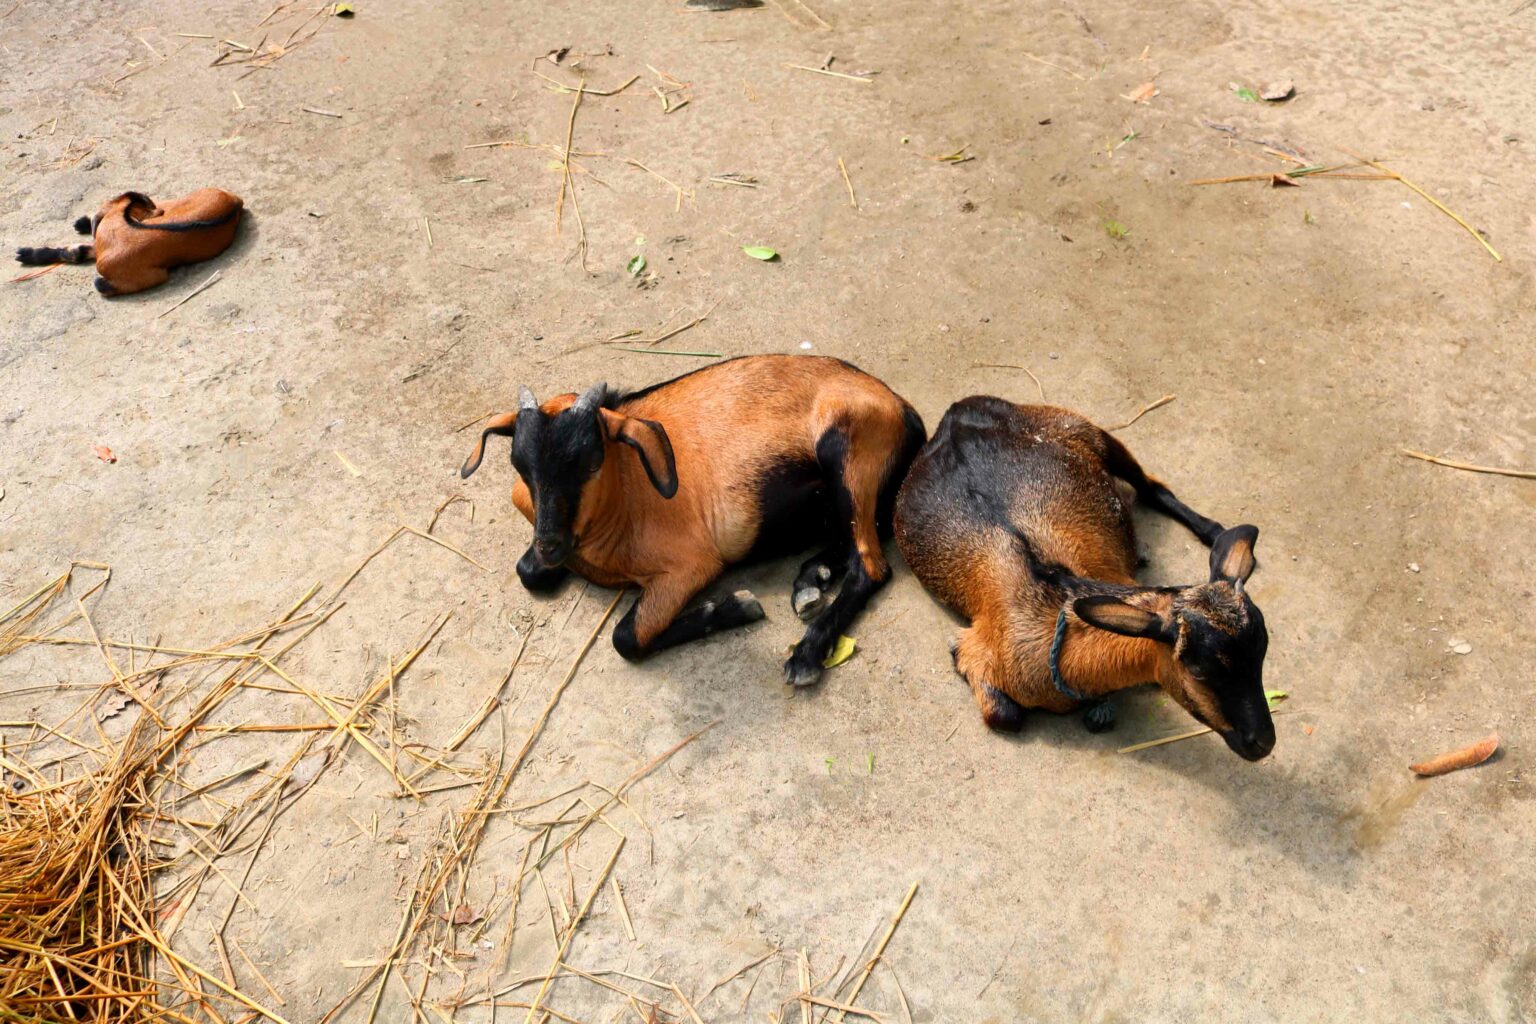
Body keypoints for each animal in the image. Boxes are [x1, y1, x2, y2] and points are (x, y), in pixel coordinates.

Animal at [15, 189, 243, 296]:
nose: (158, 211)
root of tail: (235, 201)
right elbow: (74, 252)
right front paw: (26, 254)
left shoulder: (153, 276)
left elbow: (96, 279)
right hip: (175, 203)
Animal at [460, 355, 926, 685]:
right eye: (520, 465)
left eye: (591, 461)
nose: (550, 545)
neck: (625, 496)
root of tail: (903, 408)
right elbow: (526, 572)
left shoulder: (690, 565)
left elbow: (627, 637)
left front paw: (736, 606)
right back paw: (813, 579)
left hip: (845, 449)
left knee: (871, 565)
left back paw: (807, 654)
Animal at [893, 396, 1274, 761]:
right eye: (1199, 671)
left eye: (1262, 656)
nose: (1263, 742)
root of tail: (956, 413)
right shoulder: (972, 651)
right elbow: (1005, 715)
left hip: (1084, 428)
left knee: (1150, 486)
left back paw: (1212, 531)